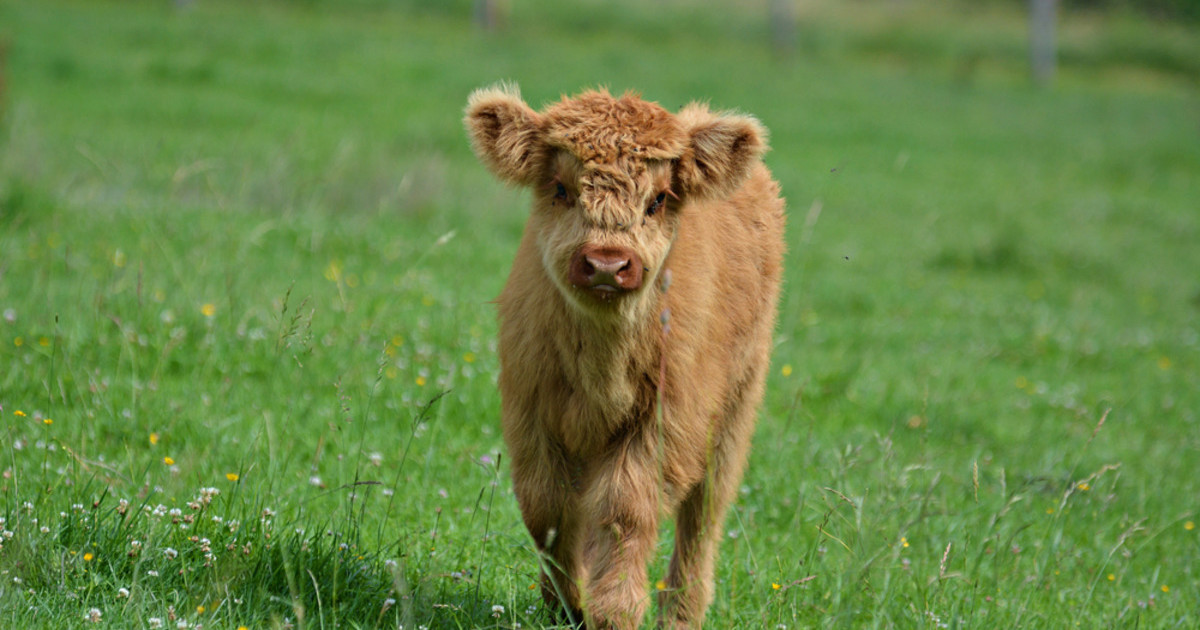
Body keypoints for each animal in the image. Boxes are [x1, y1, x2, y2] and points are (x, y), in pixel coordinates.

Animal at [464, 84, 785, 629]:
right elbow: (547, 509)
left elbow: (624, 510)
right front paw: (566, 605)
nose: (607, 264)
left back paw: (681, 615)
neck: (601, 364)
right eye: (560, 189)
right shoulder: (531, 412)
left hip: (736, 411)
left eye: (658, 199)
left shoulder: (662, 424)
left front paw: (614, 610)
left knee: (702, 518)